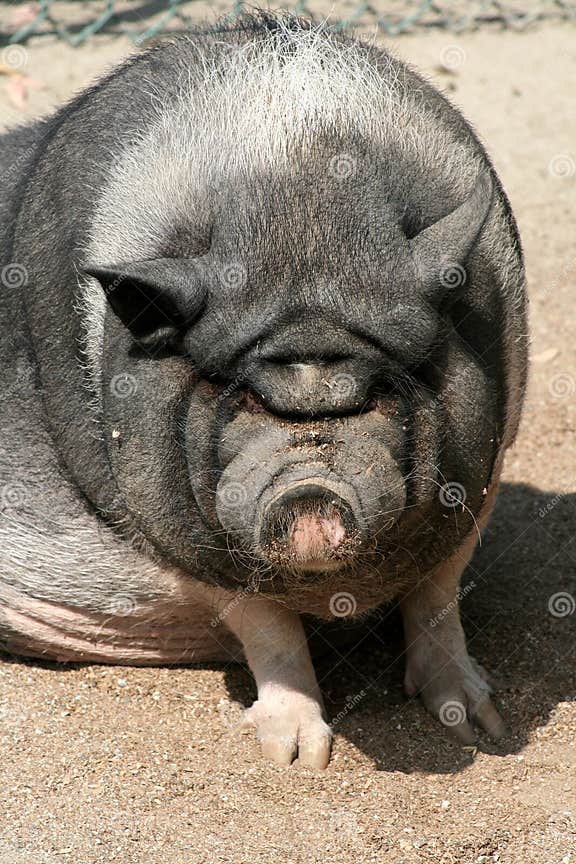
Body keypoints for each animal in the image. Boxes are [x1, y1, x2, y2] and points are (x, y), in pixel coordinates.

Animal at [0, 12, 528, 768]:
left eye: (375, 393)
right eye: (245, 396)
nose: (310, 491)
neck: (298, 185)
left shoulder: (493, 447)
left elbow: (437, 593)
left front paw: (477, 726)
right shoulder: (163, 522)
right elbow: (266, 622)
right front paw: (297, 759)